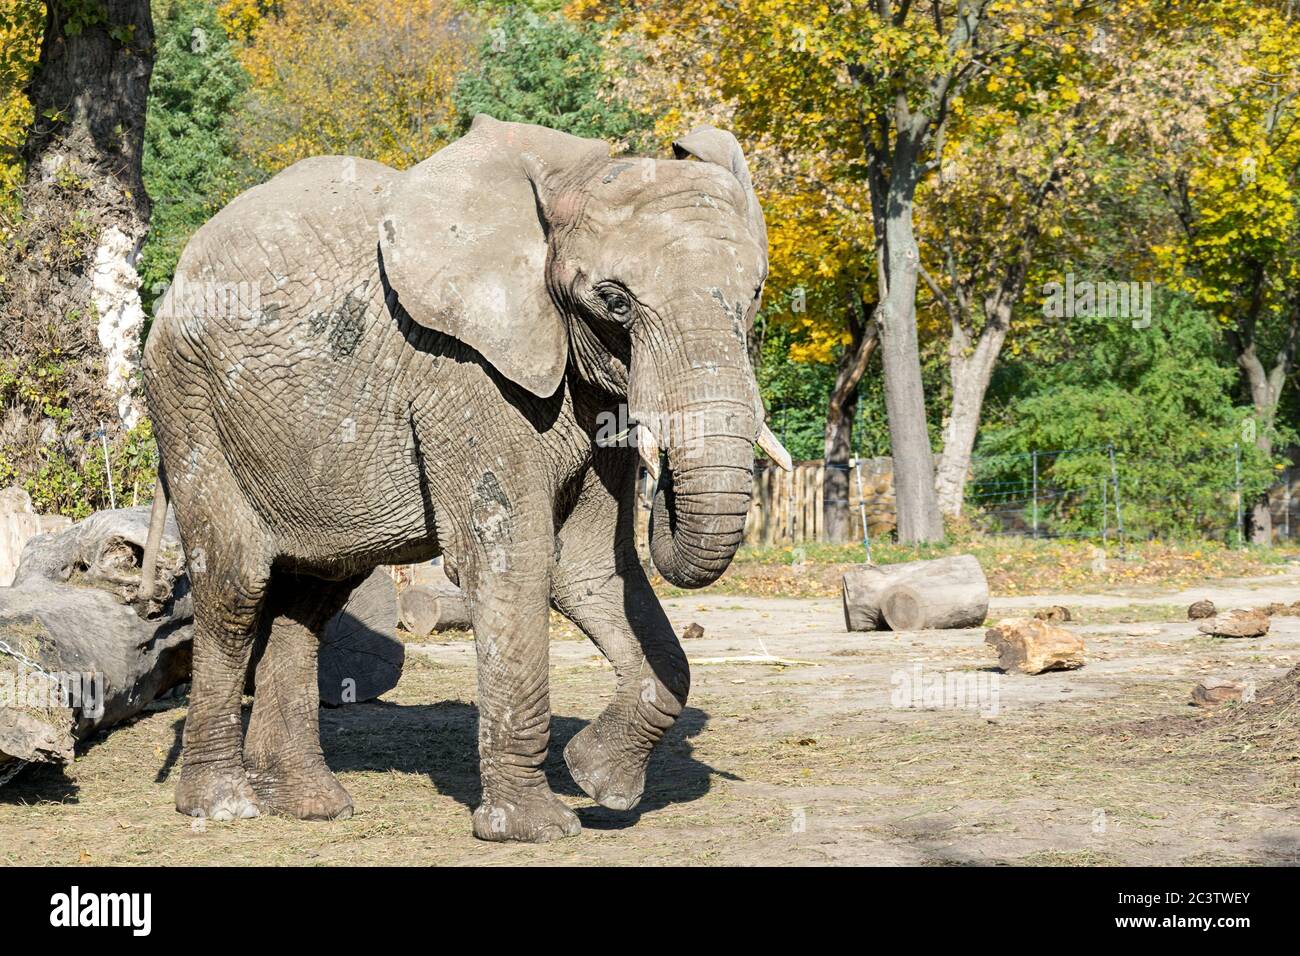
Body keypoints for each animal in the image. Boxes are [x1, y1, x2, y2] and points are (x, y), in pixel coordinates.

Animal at [136, 115, 790, 842]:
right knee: (236, 584)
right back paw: (222, 805)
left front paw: (600, 781)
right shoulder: (463, 371)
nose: (665, 483)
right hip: (189, 402)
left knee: (311, 593)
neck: (568, 179)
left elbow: (595, 566)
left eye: (754, 296)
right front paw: (538, 828)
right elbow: (514, 562)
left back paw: (312, 806)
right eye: (614, 302)